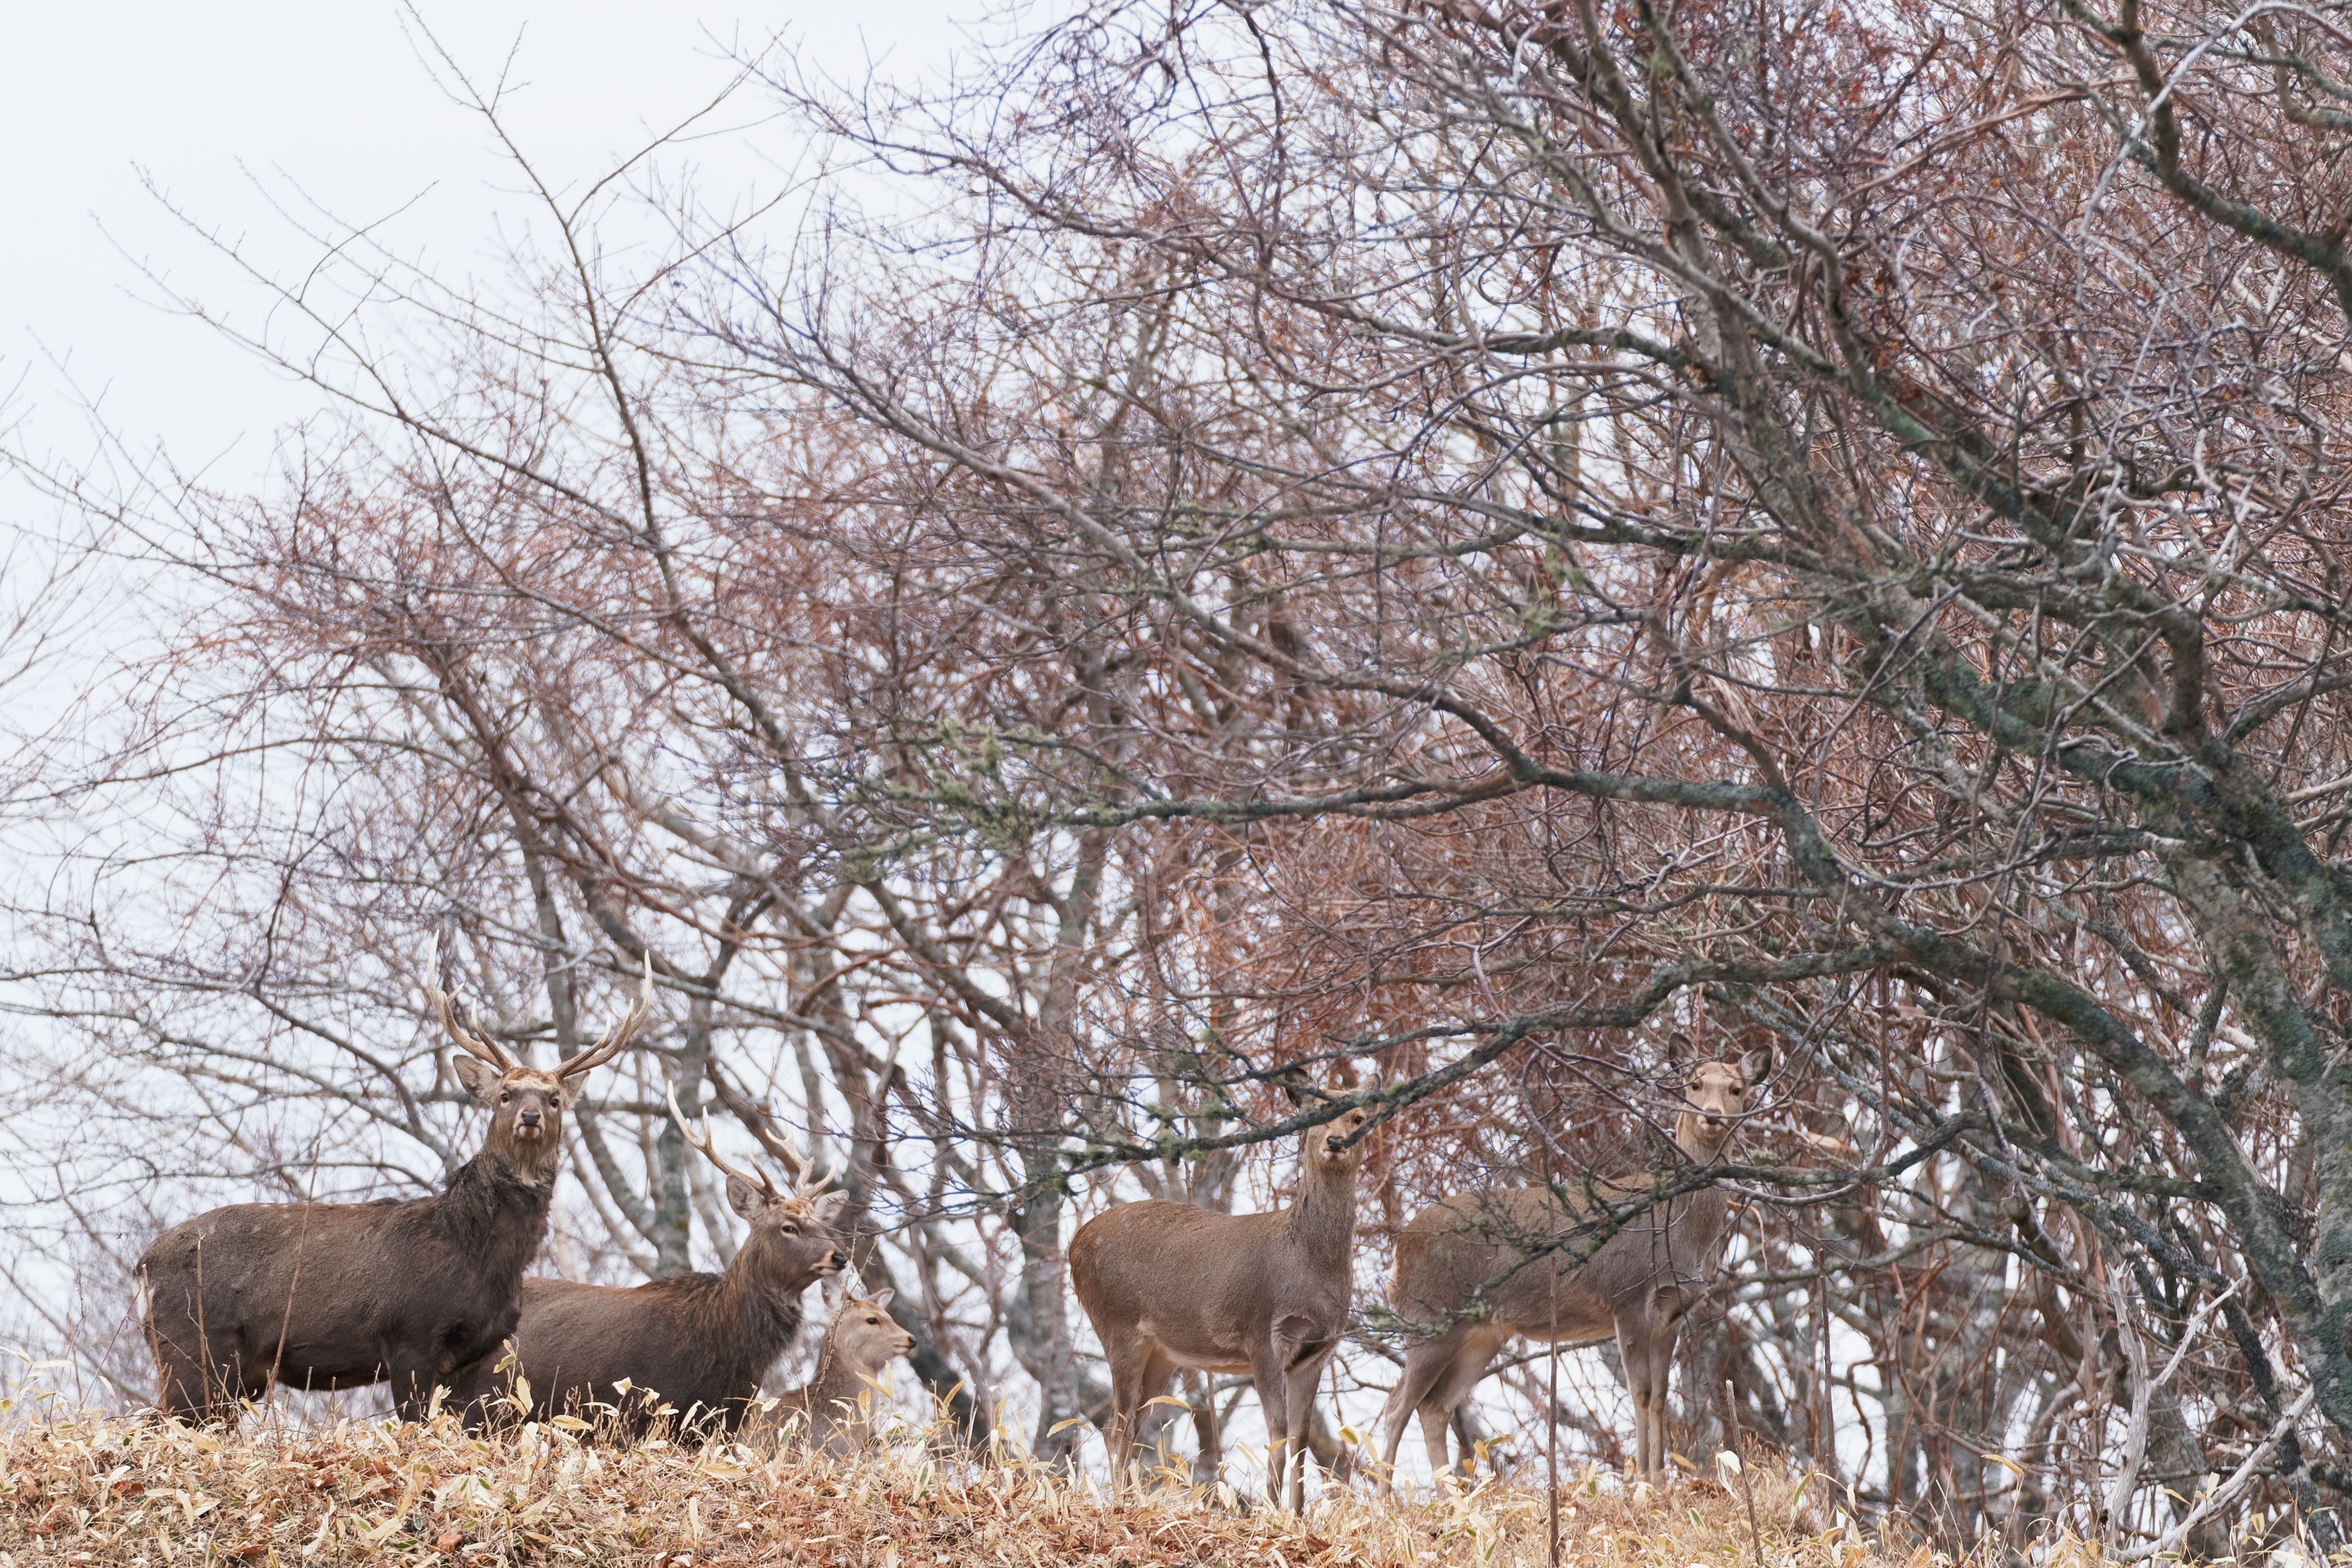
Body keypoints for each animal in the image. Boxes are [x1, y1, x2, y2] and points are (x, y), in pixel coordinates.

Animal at [135, 937, 650, 1423]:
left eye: (555, 1099)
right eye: (505, 1094)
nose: (530, 1117)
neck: (473, 1250)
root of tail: (144, 1264)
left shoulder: (473, 1352)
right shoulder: (408, 1337)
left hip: (239, 1372)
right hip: (194, 1346)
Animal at [446, 1084, 851, 1437]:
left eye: (822, 1224)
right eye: (789, 1227)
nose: (840, 1256)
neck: (722, 1345)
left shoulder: (723, 1422)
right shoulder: (642, 1408)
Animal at [1069, 1070, 1378, 1511]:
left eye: (1358, 1118)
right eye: (1315, 1116)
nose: (1335, 1142)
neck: (1306, 1263)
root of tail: (1074, 1243)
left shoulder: (1318, 1351)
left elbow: (1300, 1439)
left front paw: (1298, 1514)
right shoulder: (1262, 1334)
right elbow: (1277, 1432)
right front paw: (1272, 1511)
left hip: (1161, 1353)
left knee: (1131, 1423)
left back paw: (1129, 1499)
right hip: (1117, 1324)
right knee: (1116, 1425)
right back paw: (1121, 1503)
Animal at [1371, 1046, 1769, 1486]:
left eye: (1736, 1089)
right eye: (1694, 1085)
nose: (1712, 1115)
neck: (1681, 1231)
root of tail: (1399, 1248)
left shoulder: (1673, 1312)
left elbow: (1662, 1397)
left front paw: (1660, 1481)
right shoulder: (1627, 1297)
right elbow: (1641, 1392)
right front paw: (1641, 1482)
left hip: (1481, 1334)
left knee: (1435, 1406)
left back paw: (1449, 1494)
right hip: (1428, 1318)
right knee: (1396, 1406)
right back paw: (1387, 1495)